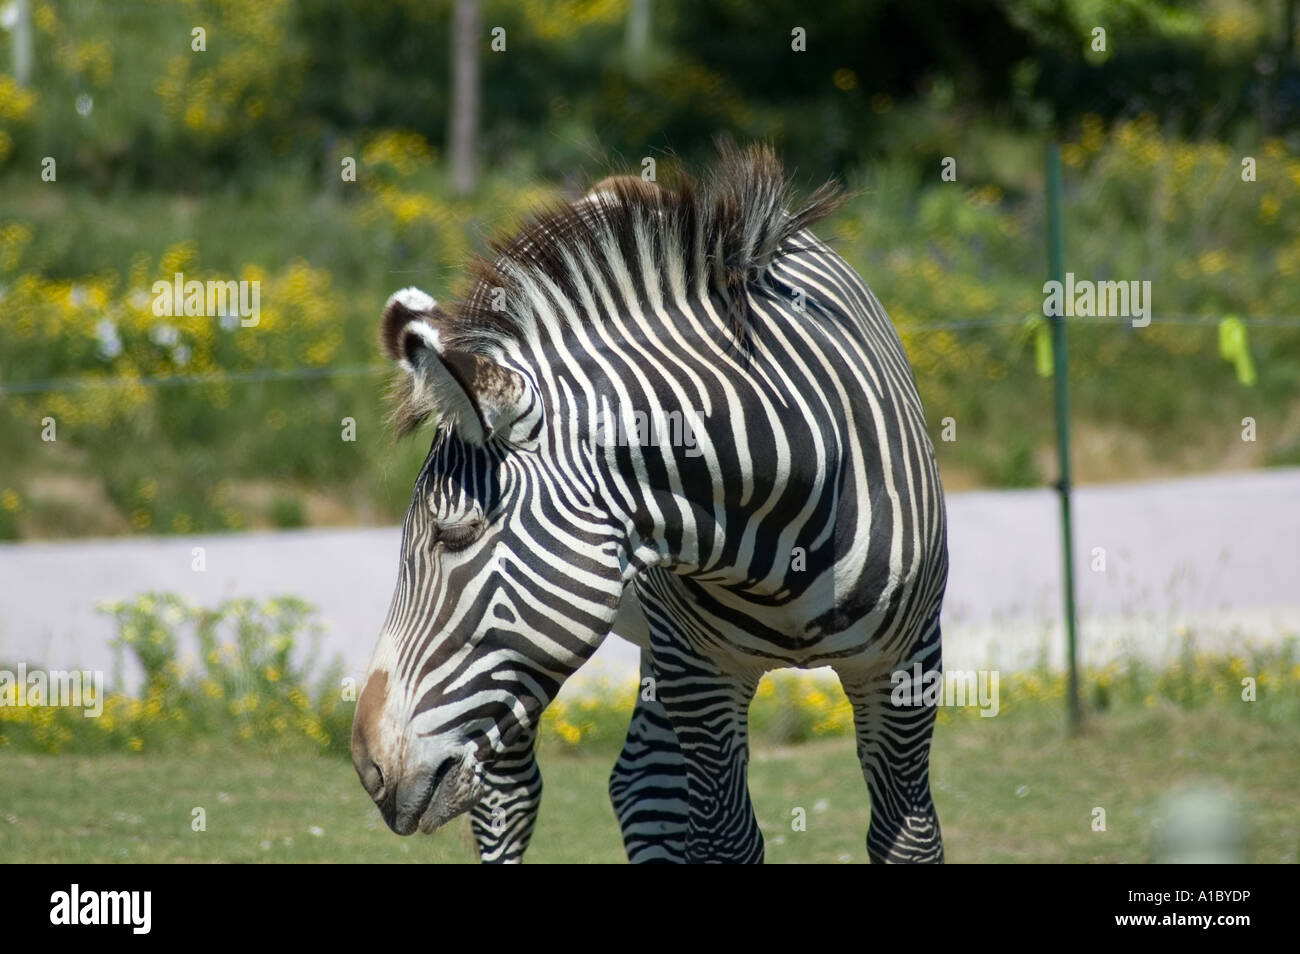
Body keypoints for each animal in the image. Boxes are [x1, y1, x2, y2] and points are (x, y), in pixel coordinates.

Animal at [351, 144, 949, 863]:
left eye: (455, 534)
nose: (368, 767)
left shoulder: (907, 664)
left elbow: (908, 838)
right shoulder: (697, 671)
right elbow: (723, 840)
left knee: (638, 785)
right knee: (517, 800)